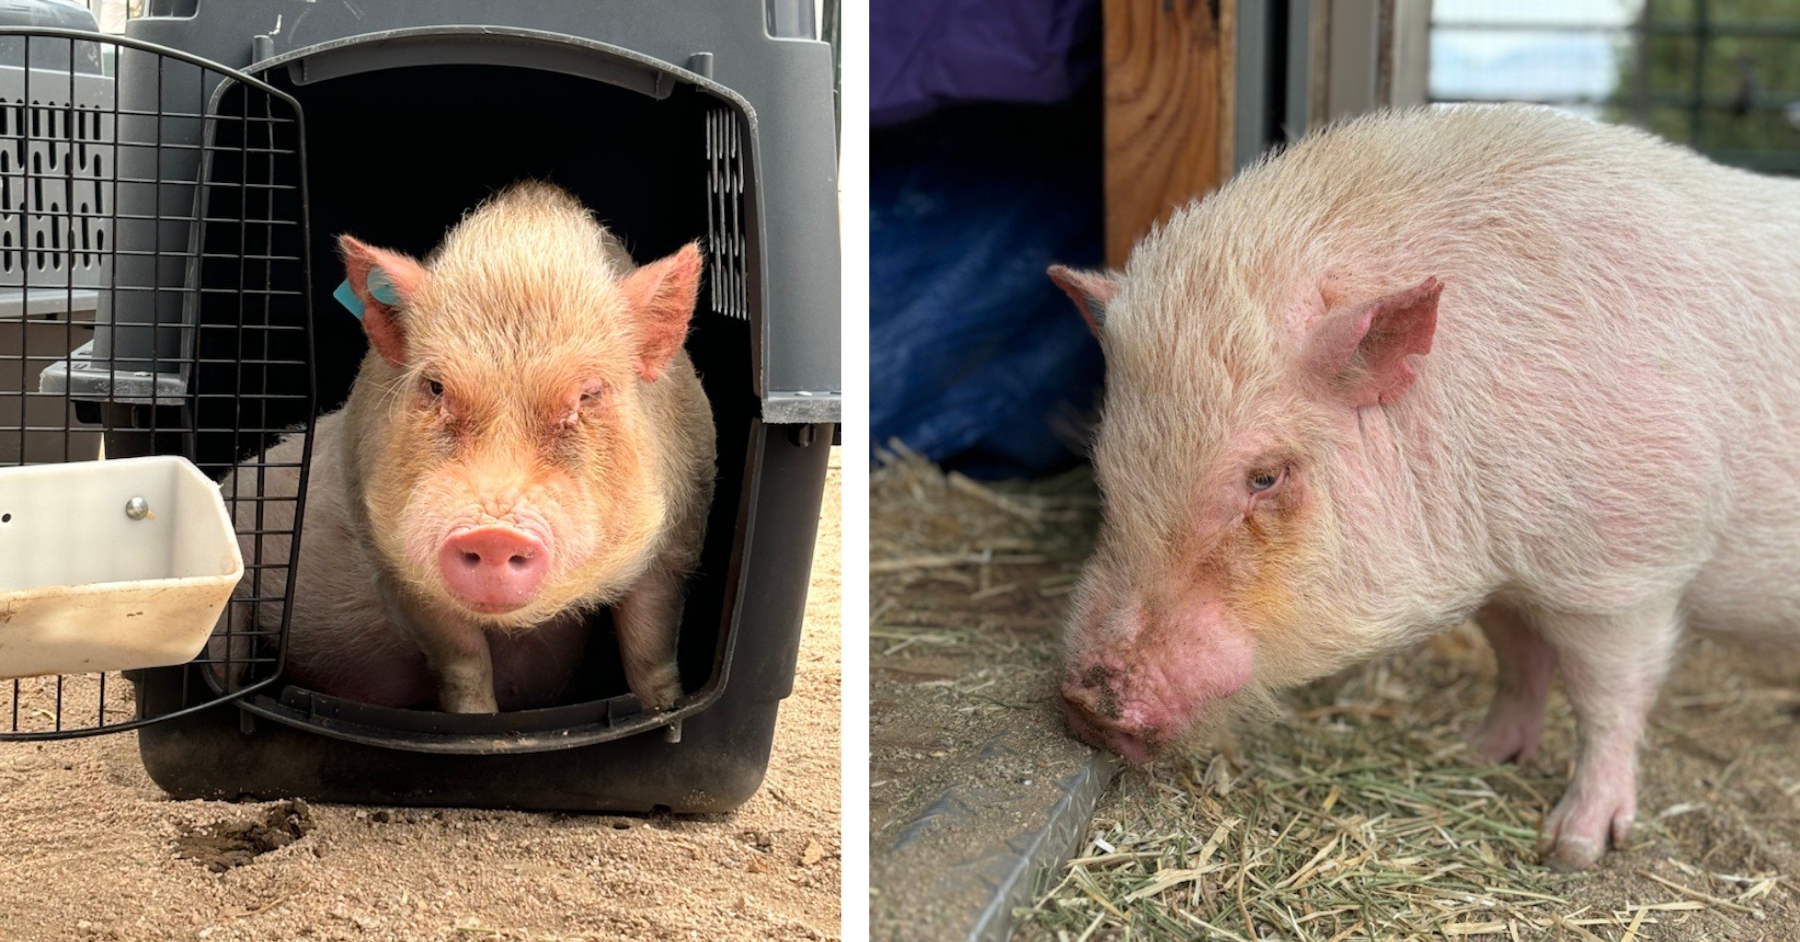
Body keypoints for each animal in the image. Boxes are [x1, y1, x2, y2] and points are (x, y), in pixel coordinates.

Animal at [213, 181, 716, 715]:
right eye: (435, 387)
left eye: (587, 394)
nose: (493, 534)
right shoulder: (390, 559)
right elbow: (464, 663)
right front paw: (480, 722)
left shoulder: (681, 537)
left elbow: (650, 647)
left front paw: (667, 709)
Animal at [1049, 103, 1800, 871]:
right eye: (1108, 460)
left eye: (1265, 476)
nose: (1083, 705)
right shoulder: (1501, 574)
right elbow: (1519, 663)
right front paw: (1480, 754)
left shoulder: (1630, 565)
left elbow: (1609, 699)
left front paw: (1572, 848)